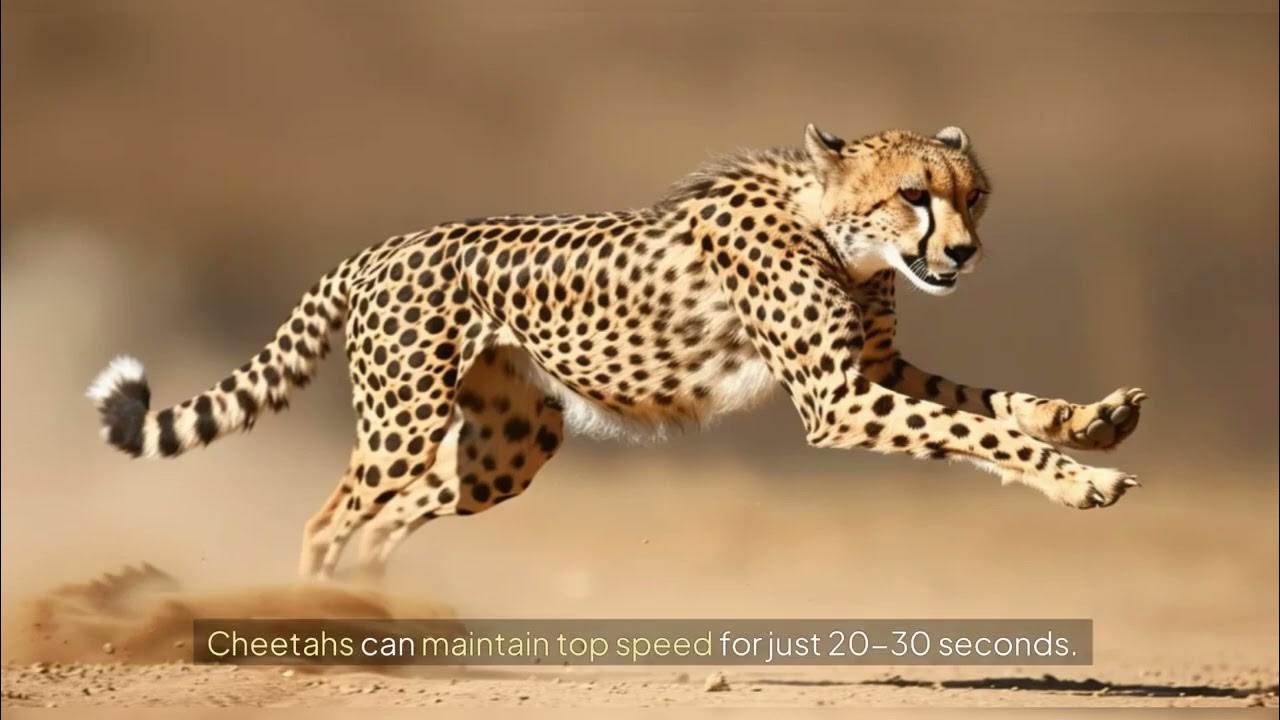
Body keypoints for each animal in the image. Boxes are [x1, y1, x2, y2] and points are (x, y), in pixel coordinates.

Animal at [88, 124, 1147, 580]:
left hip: (507, 446)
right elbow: (975, 429)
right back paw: (313, 614)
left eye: (974, 196)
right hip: (403, 422)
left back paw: (379, 608)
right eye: (915, 196)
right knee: (330, 517)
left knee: (395, 518)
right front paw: (1082, 480)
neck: (838, 235)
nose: (962, 253)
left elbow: (985, 406)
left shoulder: (873, 373)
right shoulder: (840, 399)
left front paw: (1088, 423)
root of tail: (378, 248)